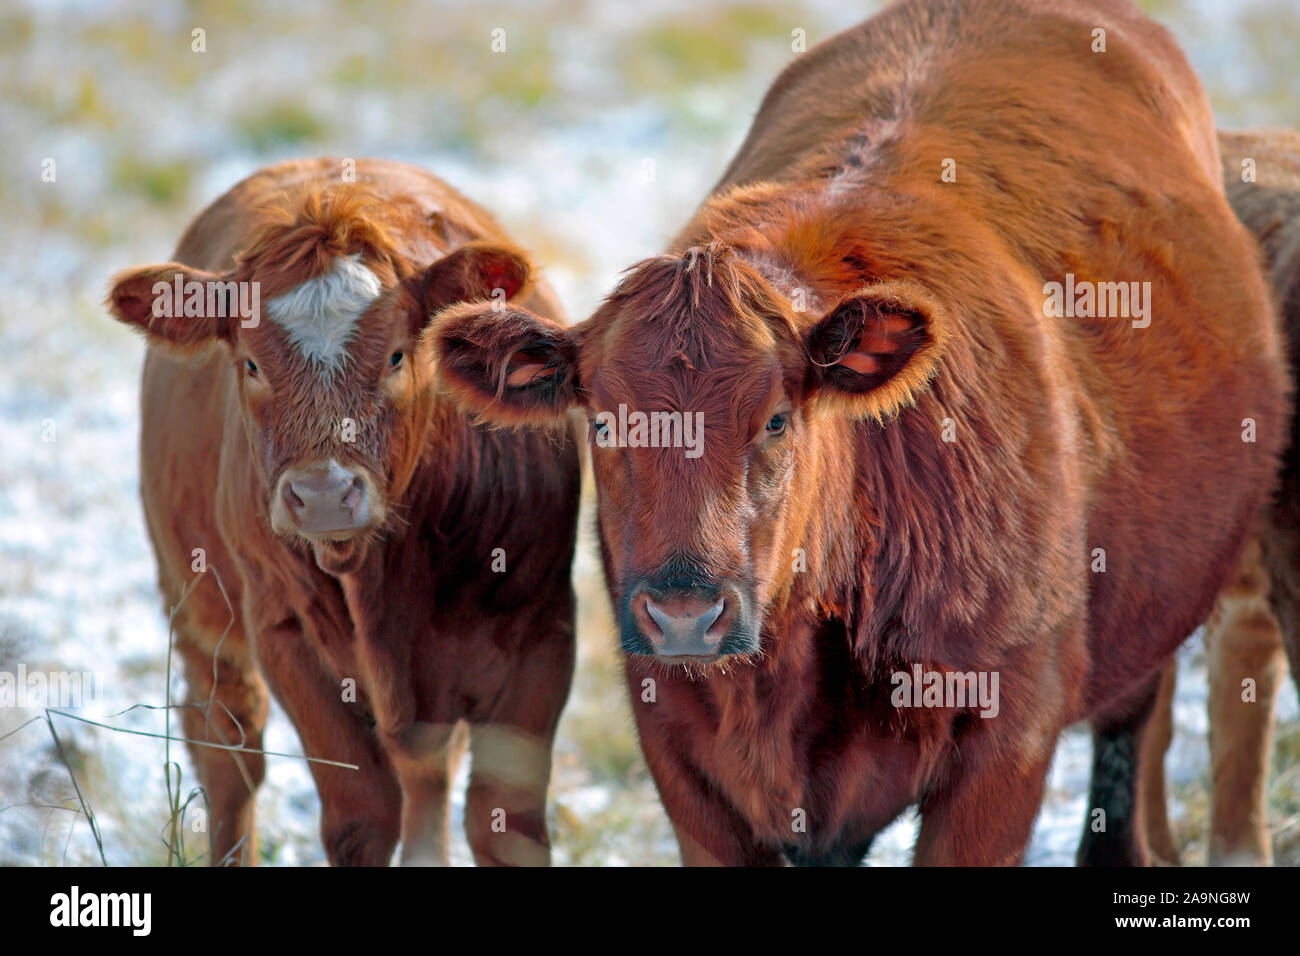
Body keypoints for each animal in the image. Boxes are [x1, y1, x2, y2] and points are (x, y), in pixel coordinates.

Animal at [106, 158, 580, 866]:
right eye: (251, 364)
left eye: (398, 355)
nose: (325, 492)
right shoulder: (284, 631)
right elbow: (361, 815)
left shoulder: (541, 629)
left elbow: (505, 823)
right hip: (196, 600)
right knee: (228, 748)